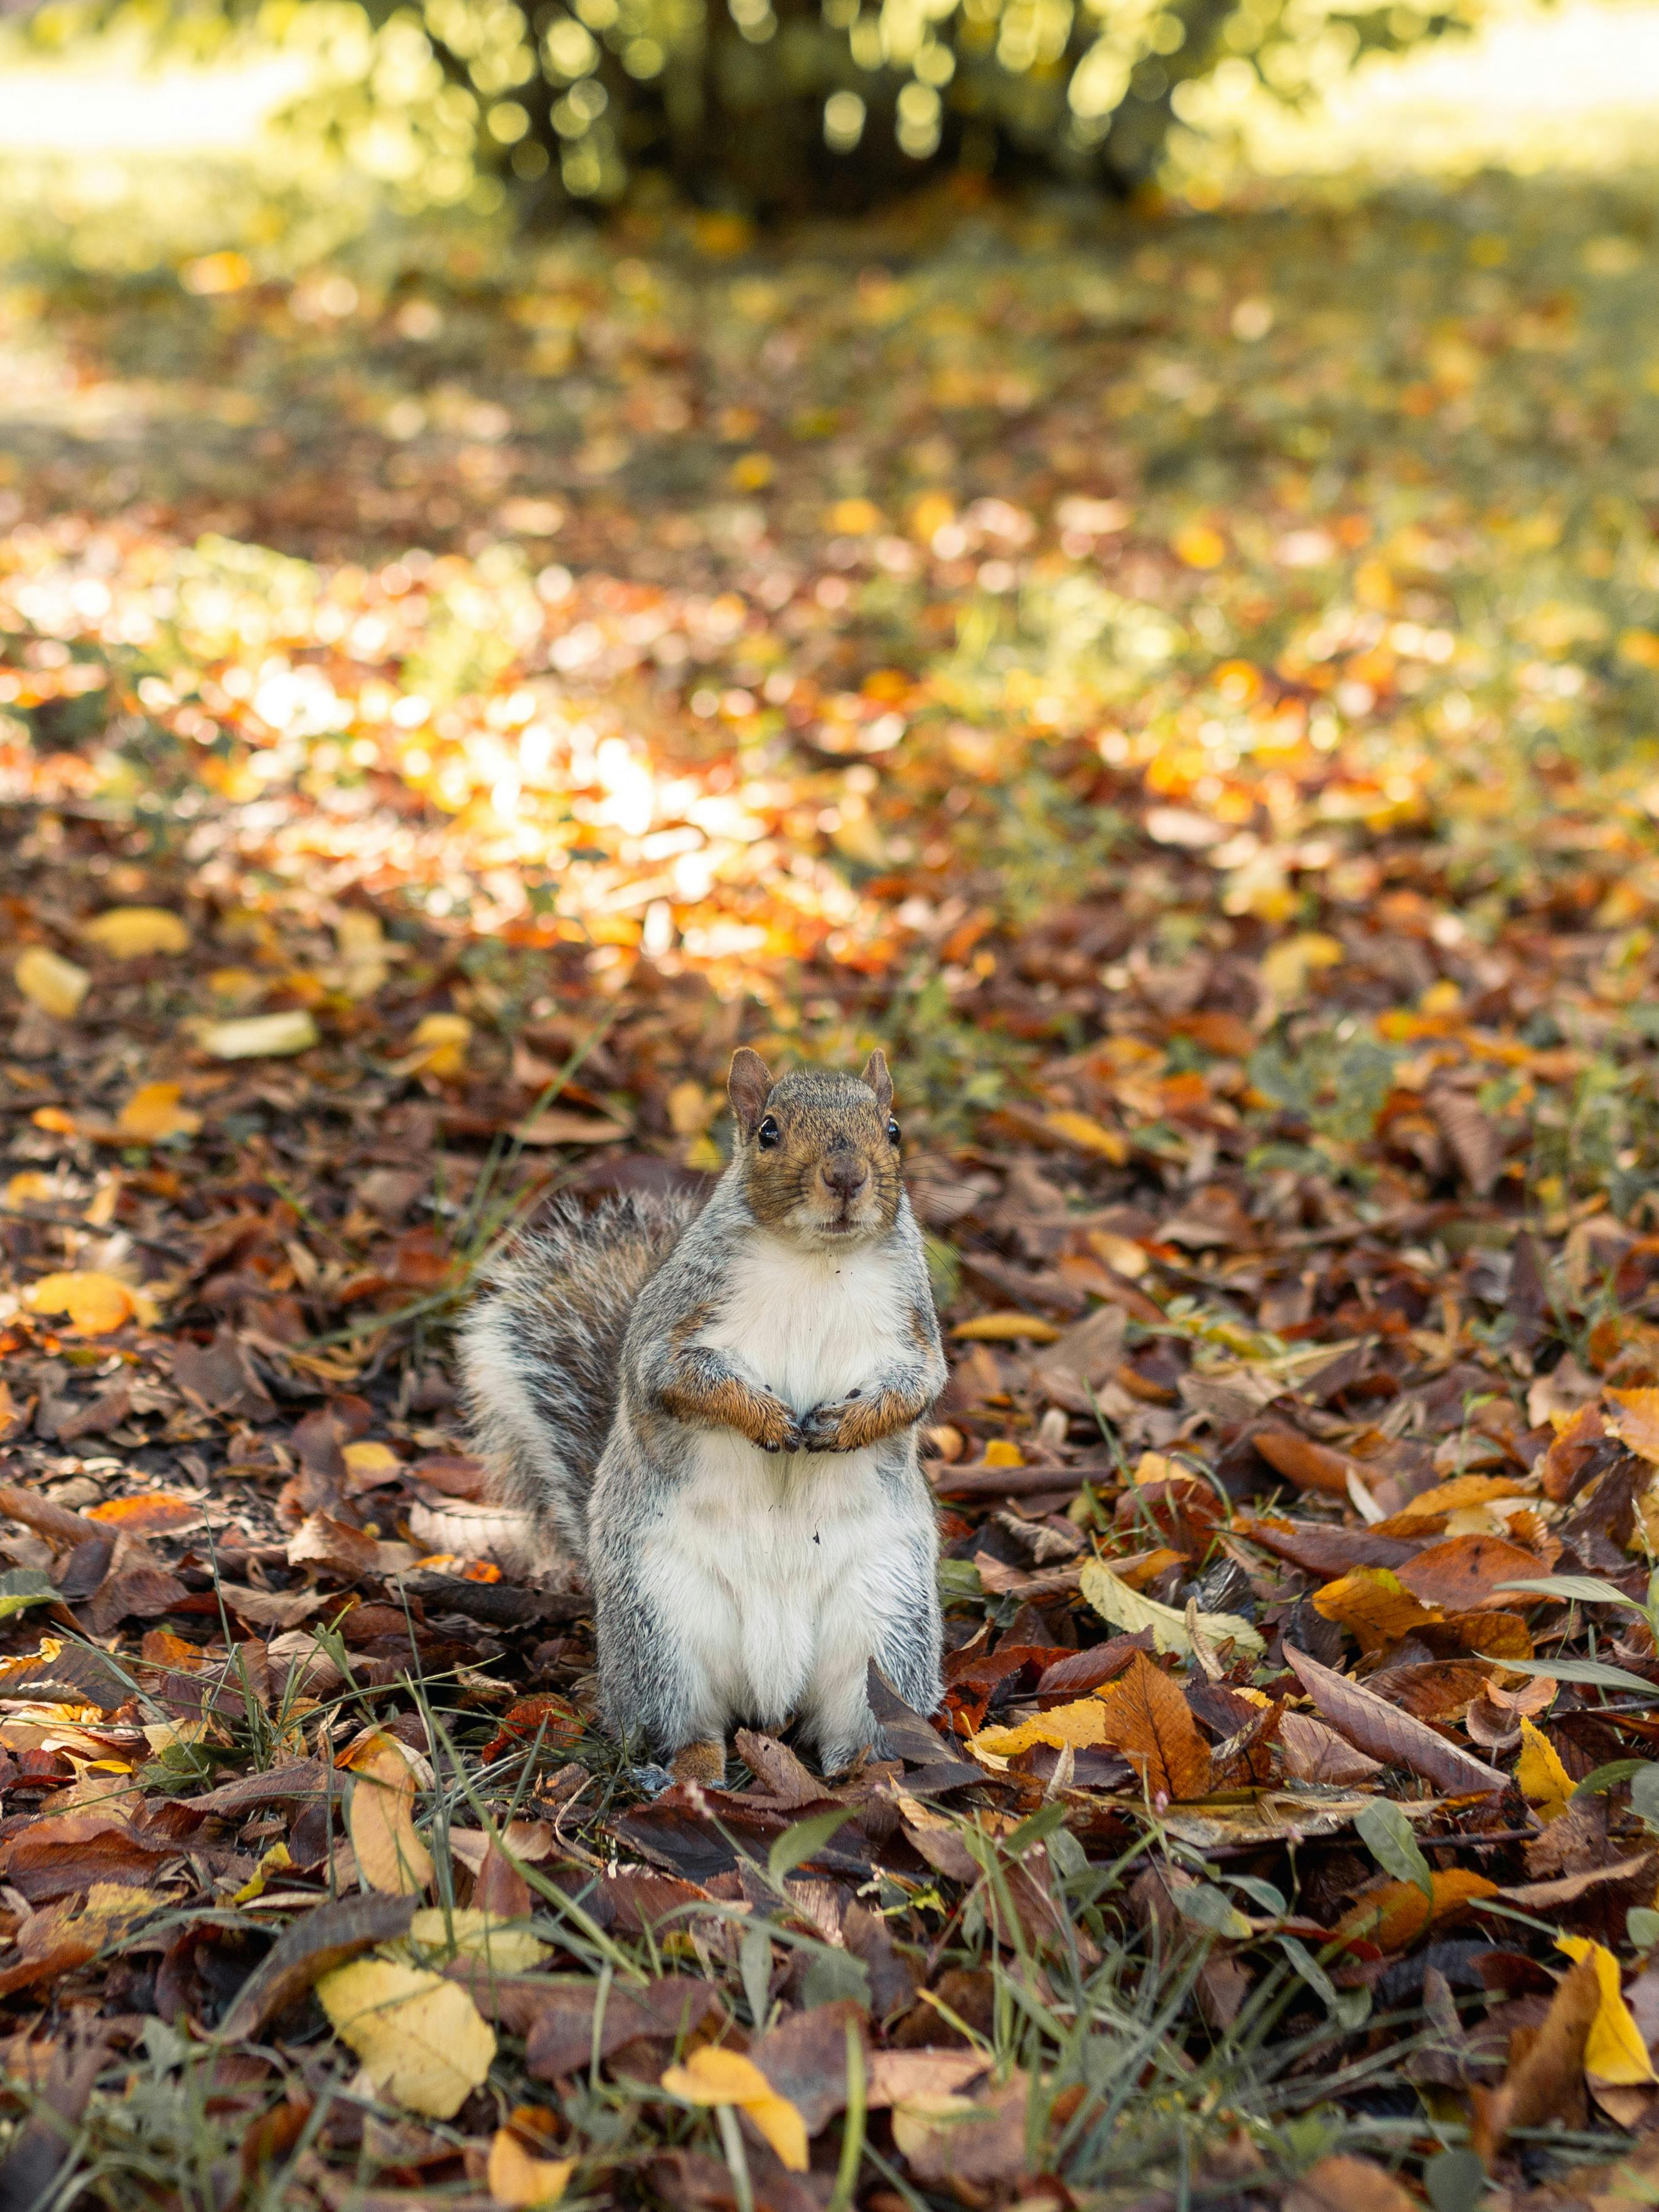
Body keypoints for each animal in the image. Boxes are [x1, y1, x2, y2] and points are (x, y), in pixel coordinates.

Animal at [458, 1046, 947, 1783]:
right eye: (769, 1131)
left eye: (892, 1130)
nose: (846, 1177)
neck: (819, 1262)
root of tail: (773, 1693)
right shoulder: (675, 1323)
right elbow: (678, 1378)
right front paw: (765, 1418)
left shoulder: (913, 1329)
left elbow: (918, 1389)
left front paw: (846, 1426)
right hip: (664, 1626)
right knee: (686, 1725)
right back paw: (689, 1775)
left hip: (885, 1621)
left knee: (861, 1720)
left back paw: (869, 1773)